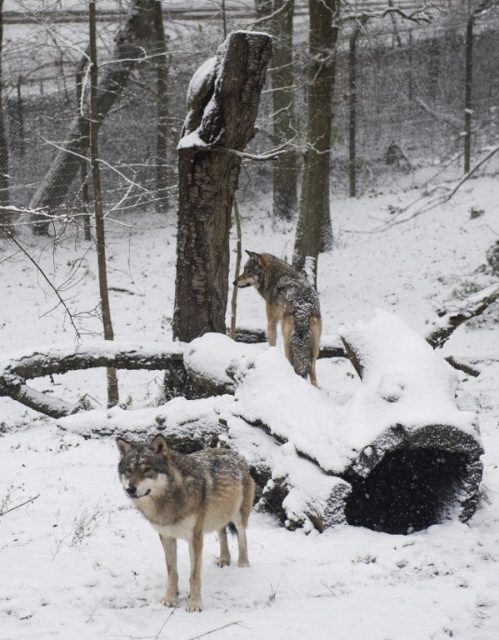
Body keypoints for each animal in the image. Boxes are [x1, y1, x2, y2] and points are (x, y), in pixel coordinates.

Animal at [116, 434, 254, 612]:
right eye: (129, 470)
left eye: (147, 469)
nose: (130, 489)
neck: (169, 499)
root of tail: (236, 454)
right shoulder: (166, 536)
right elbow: (172, 572)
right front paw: (170, 598)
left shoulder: (195, 538)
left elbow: (194, 575)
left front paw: (194, 604)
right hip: (219, 516)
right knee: (222, 533)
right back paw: (224, 559)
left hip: (238, 516)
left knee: (242, 537)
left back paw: (243, 564)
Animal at [234, 251, 322, 386]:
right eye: (244, 270)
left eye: (247, 271)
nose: (233, 282)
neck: (273, 275)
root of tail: (303, 307)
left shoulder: (271, 321)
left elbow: (271, 343)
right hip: (315, 347)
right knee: (312, 372)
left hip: (287, 339)